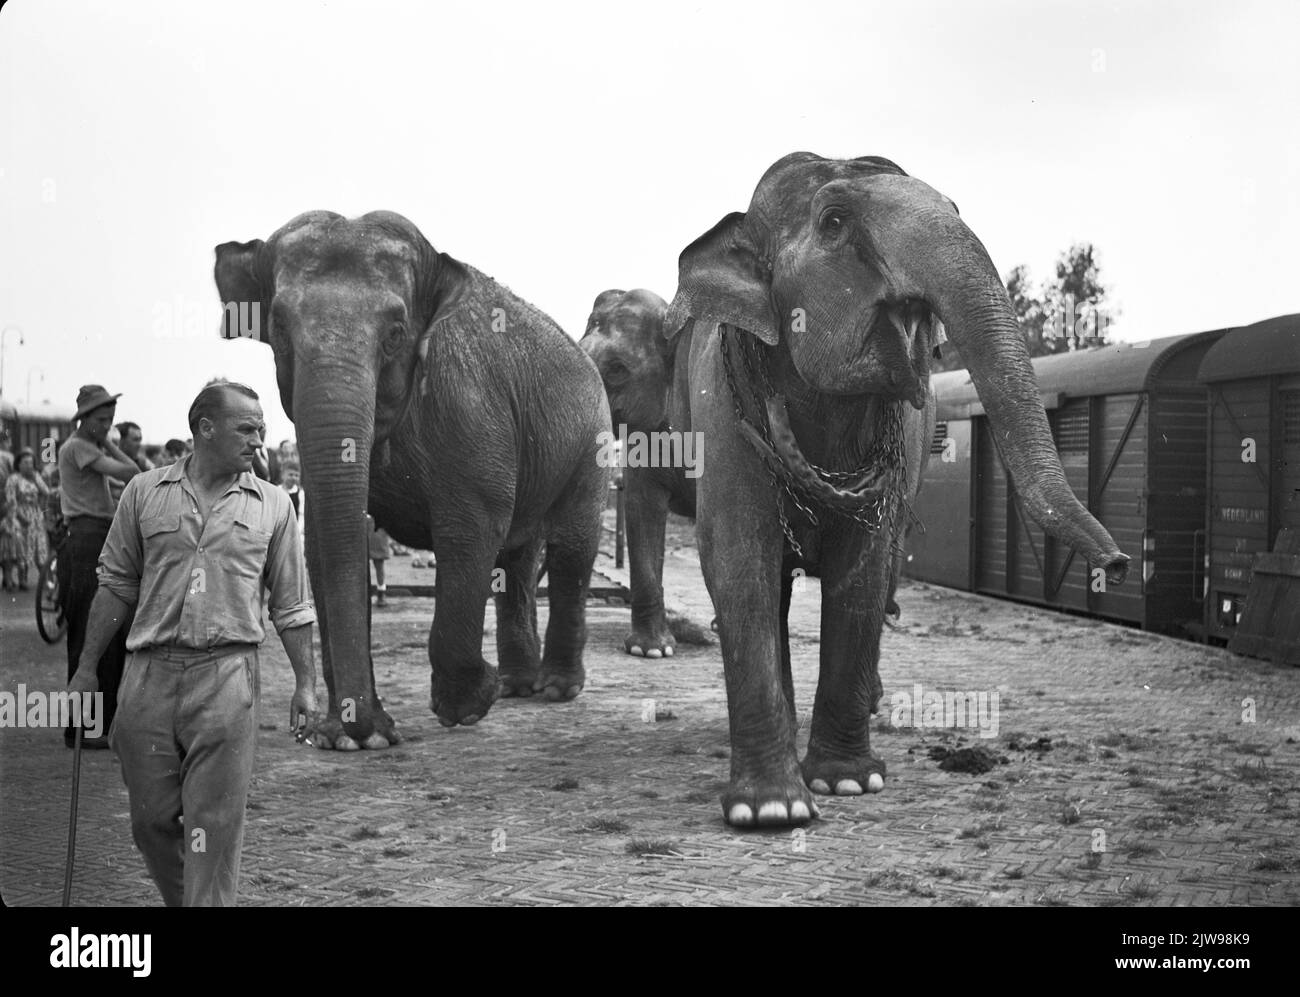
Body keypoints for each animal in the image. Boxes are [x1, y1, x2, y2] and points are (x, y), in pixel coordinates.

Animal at [214, 210, 610, 749]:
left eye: (395, 333)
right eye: (278, 327)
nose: (360, 728)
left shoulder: (466, 405)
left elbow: (470, 529)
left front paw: (464, 708)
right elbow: (323, 539)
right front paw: (352, 738)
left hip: (592, 439)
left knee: (569, 545)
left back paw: (554, 689)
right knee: (518, 555)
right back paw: (516, 686)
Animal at [660, 153, 1129, 827]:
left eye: (955, 208)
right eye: (833, 221)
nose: (1118, 564)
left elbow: (865, 568)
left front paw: (848, 783)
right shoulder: (719, 410)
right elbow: (738, 558)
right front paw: (773, 810)